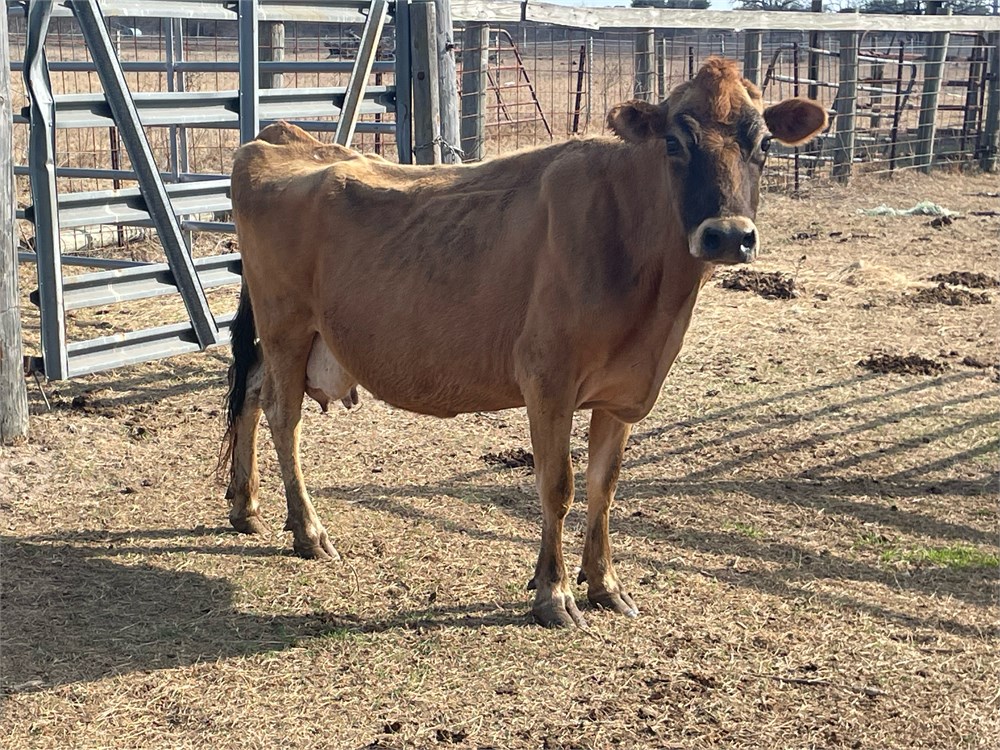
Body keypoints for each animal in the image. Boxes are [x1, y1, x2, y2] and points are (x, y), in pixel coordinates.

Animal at [222, 57, 827, 628]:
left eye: (764, 143)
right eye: (676, 142)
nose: (728, 235)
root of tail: (280, 135)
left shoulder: (623, 393)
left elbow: (604, 486)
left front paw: (605, 584)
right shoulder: (548, 380)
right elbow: (558, 486)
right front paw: (553, 595)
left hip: (293, 337)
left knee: (249, 392)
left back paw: (246, 506)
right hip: (287, 325)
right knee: (283, 416)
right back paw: (308, 531)